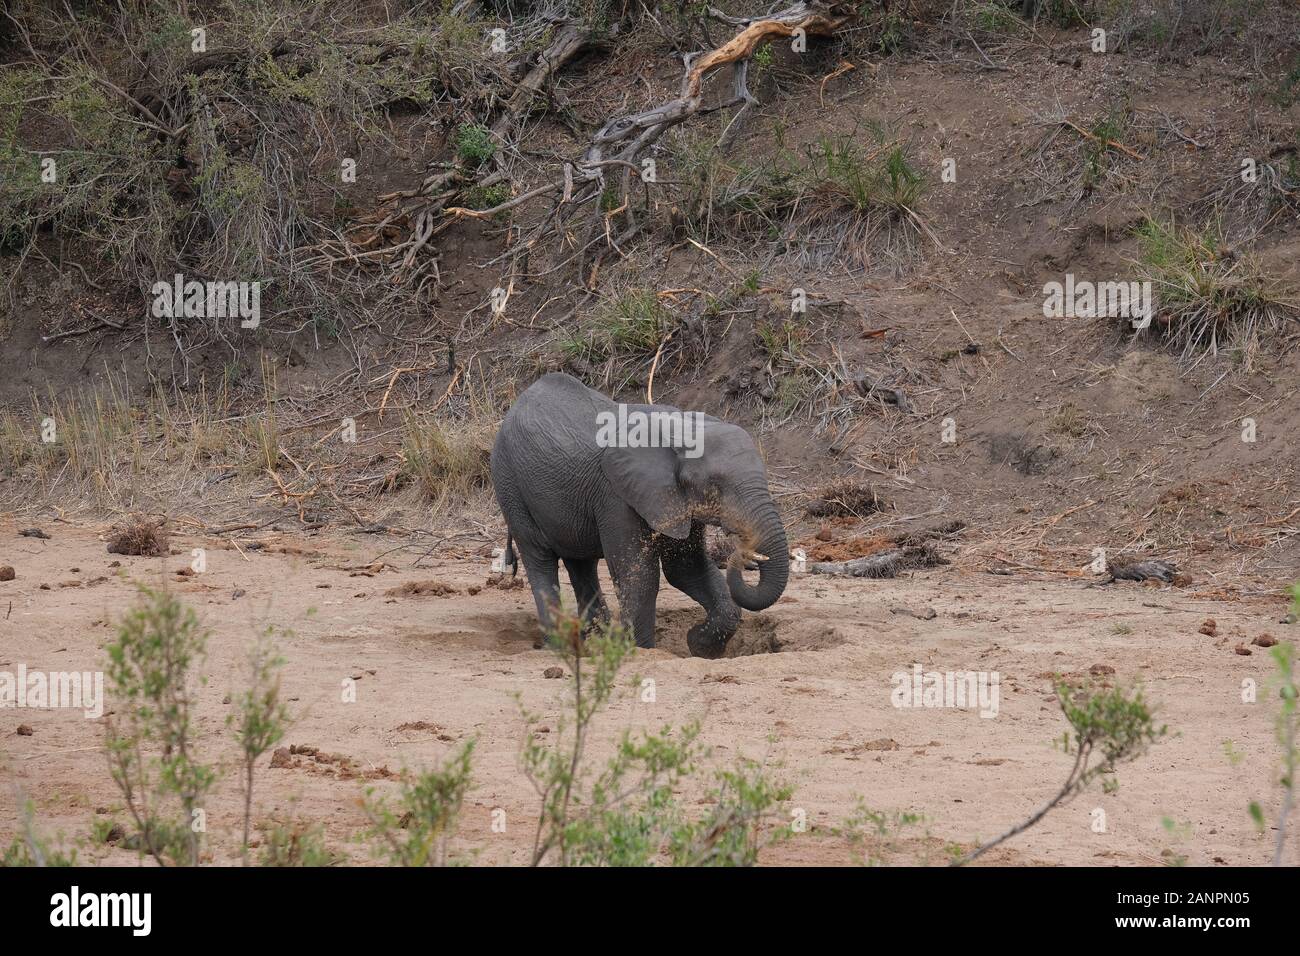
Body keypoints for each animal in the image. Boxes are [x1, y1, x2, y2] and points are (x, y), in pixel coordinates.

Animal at [490, 372, 790, 656]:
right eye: (715, 486)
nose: (742, 553)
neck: (682, 427)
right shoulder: (615, 495)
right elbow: (640, 576)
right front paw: (642, 651)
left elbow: (686, 568)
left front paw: (697, 644)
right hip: (510, 484)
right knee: (540, 560)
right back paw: (560, 647)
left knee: (580, 563)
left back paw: (594, 644)